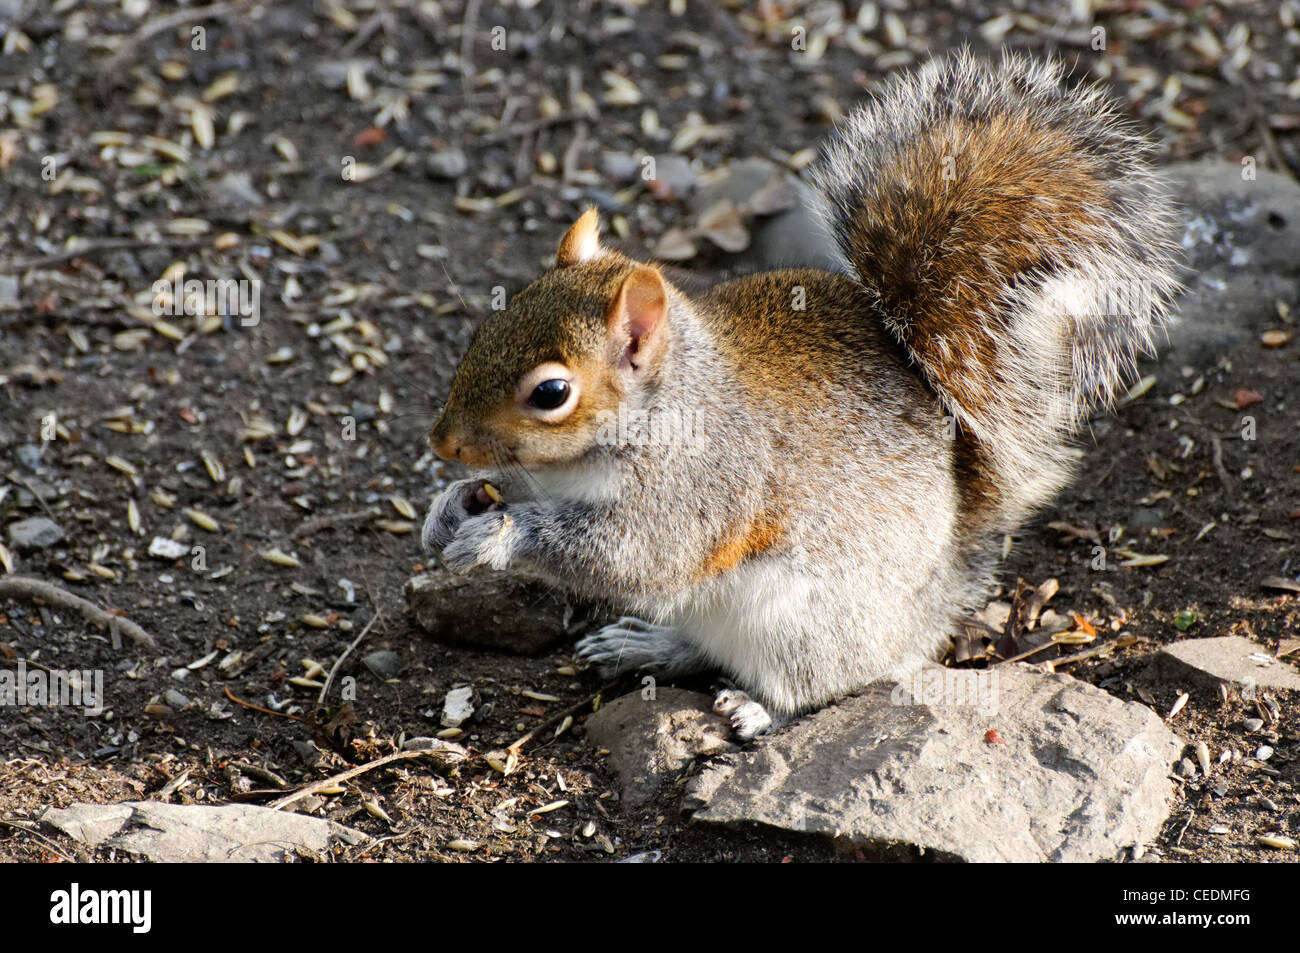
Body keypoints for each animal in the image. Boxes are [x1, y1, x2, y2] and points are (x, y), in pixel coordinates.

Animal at [422, 51, 1181, 739]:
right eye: (488, 325)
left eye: (552, 392)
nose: (442, 443)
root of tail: (937, 603)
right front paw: (448, 509)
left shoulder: (702, 485)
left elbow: (634, 555)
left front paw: (498, 535)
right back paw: (647, 644)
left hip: (804, 625)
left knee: (829, 682)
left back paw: (758, 706)